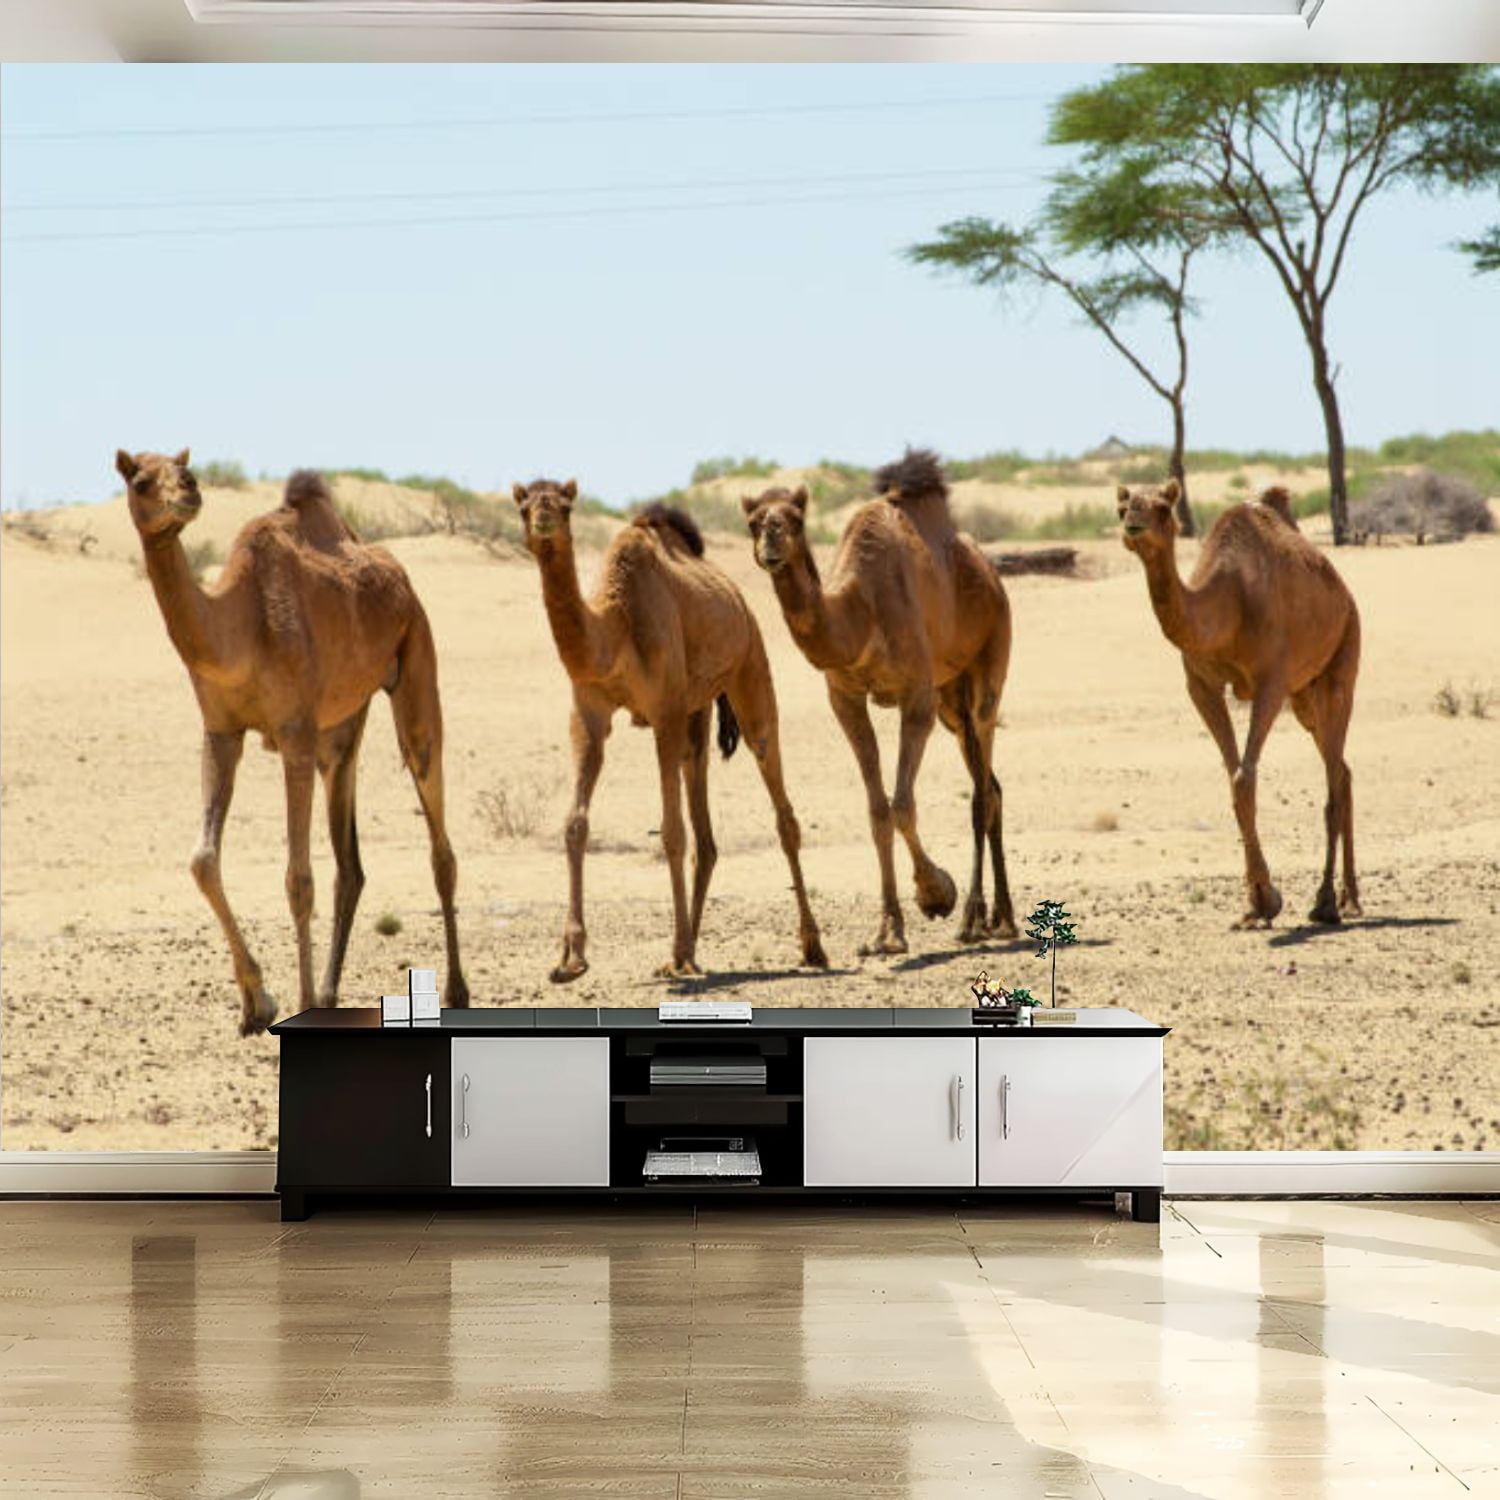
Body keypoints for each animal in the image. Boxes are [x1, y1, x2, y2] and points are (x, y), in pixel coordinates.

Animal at [117, 449, 468, 1035]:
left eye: (184, 469)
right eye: (140, 480)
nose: (188, 488)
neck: (238, 627)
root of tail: (396, 573)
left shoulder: (295, 734)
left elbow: (298, 879)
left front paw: (290, 998)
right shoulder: (221, 731)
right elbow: (203, 861)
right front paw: (255, 1004)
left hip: (415, 658)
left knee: (437, 835)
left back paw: (458, 990)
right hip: (341, 732)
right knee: (351, 865)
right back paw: (329, 993)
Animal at [512, 481, 826, 981]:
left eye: (564, 506)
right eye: (524, 505)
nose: (544, 519)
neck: (615, 626)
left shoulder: (664, 712)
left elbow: (671, 833)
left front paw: (670, 945)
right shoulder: (589, 714)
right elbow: (576, 824)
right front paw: (571, 957)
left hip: (748, 669)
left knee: (778, 799)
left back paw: (811, 947)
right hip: (697, 712)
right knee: (706, 829)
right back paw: (686, 954)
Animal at [742, 449, 1016, 956]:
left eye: (796, 517)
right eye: (752, 520)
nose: (772, 538)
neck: (860, 608)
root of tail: (990, 571)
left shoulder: (917, 695)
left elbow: (903, 803)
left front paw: (936, 894)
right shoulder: (846, 699)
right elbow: (877, 810)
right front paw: (887, 931)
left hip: (990, 658)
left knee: (983, 788)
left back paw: (978, 918)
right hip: (952, 701)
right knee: (991, 784)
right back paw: (993, 917)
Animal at [1117, 479, 1361, 928]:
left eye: (1162, 507)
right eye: (1122, 508)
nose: (1133, 526)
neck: (1230, 601)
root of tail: (1342, 590)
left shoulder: (1270, 682)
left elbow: (1245, 778)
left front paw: (1269, 901)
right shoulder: (1200, 685)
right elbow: (1232, 779)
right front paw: (1254, 905)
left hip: (1343, 657)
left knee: (1335, 776)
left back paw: (1327, 903)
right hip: (1304, 695)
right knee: (1343, 770)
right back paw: (1349, 897)